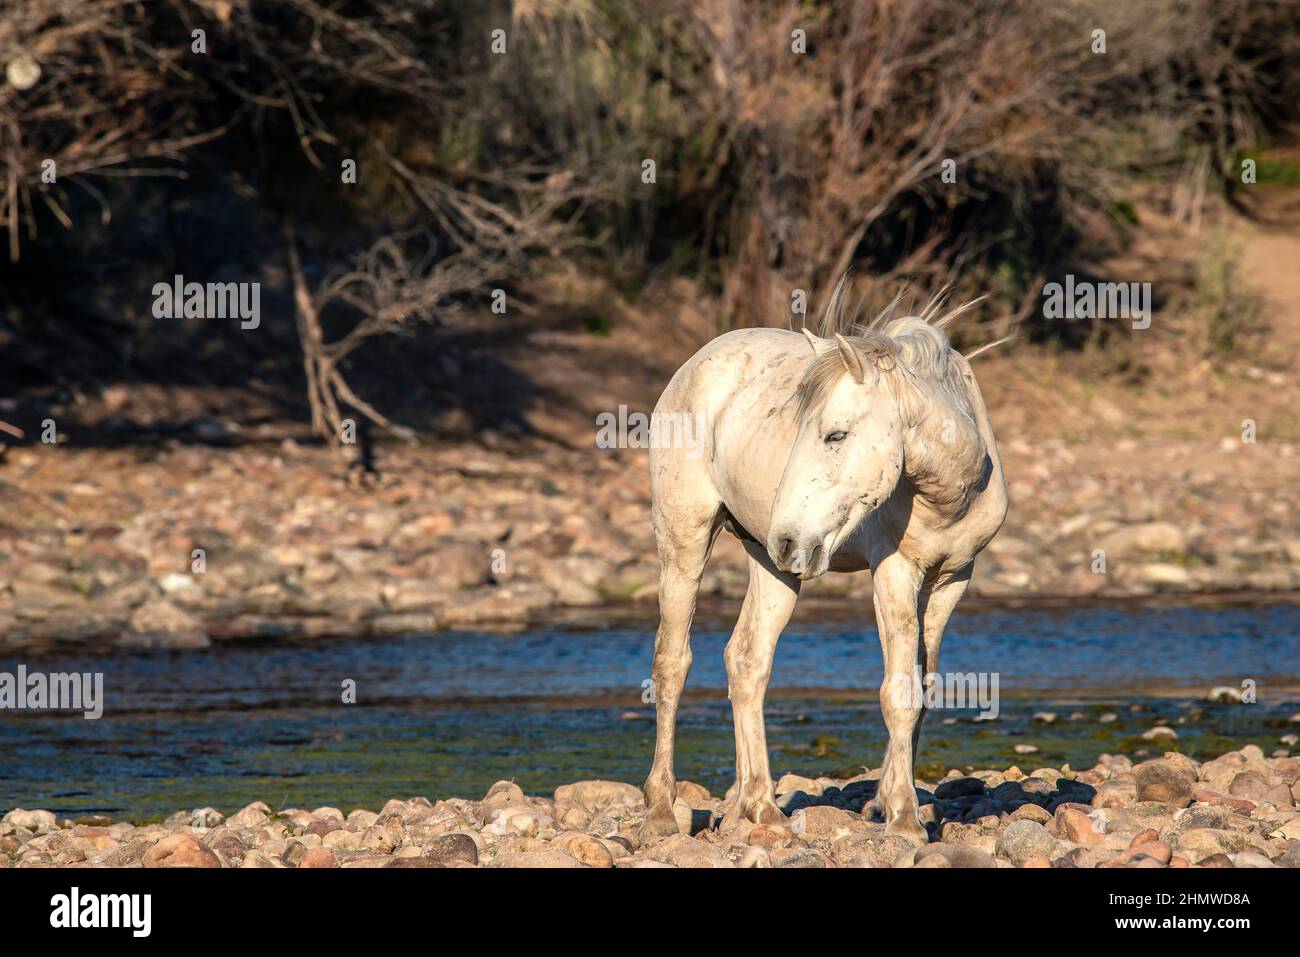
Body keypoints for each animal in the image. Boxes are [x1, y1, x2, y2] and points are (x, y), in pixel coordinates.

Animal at [641, 282, 1009, 844]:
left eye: (835, 435)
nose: (788, 536)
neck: (950, 487)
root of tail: (694, 364)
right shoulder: (893, 574)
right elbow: (897, 693)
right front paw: (904, 820)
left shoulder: (951, 580)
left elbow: (921, 688)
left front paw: (885, 805)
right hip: (686, 541)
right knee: (671, 662)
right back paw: (662, 811)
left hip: (772, 566)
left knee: (747, 661)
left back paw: (756, 809)